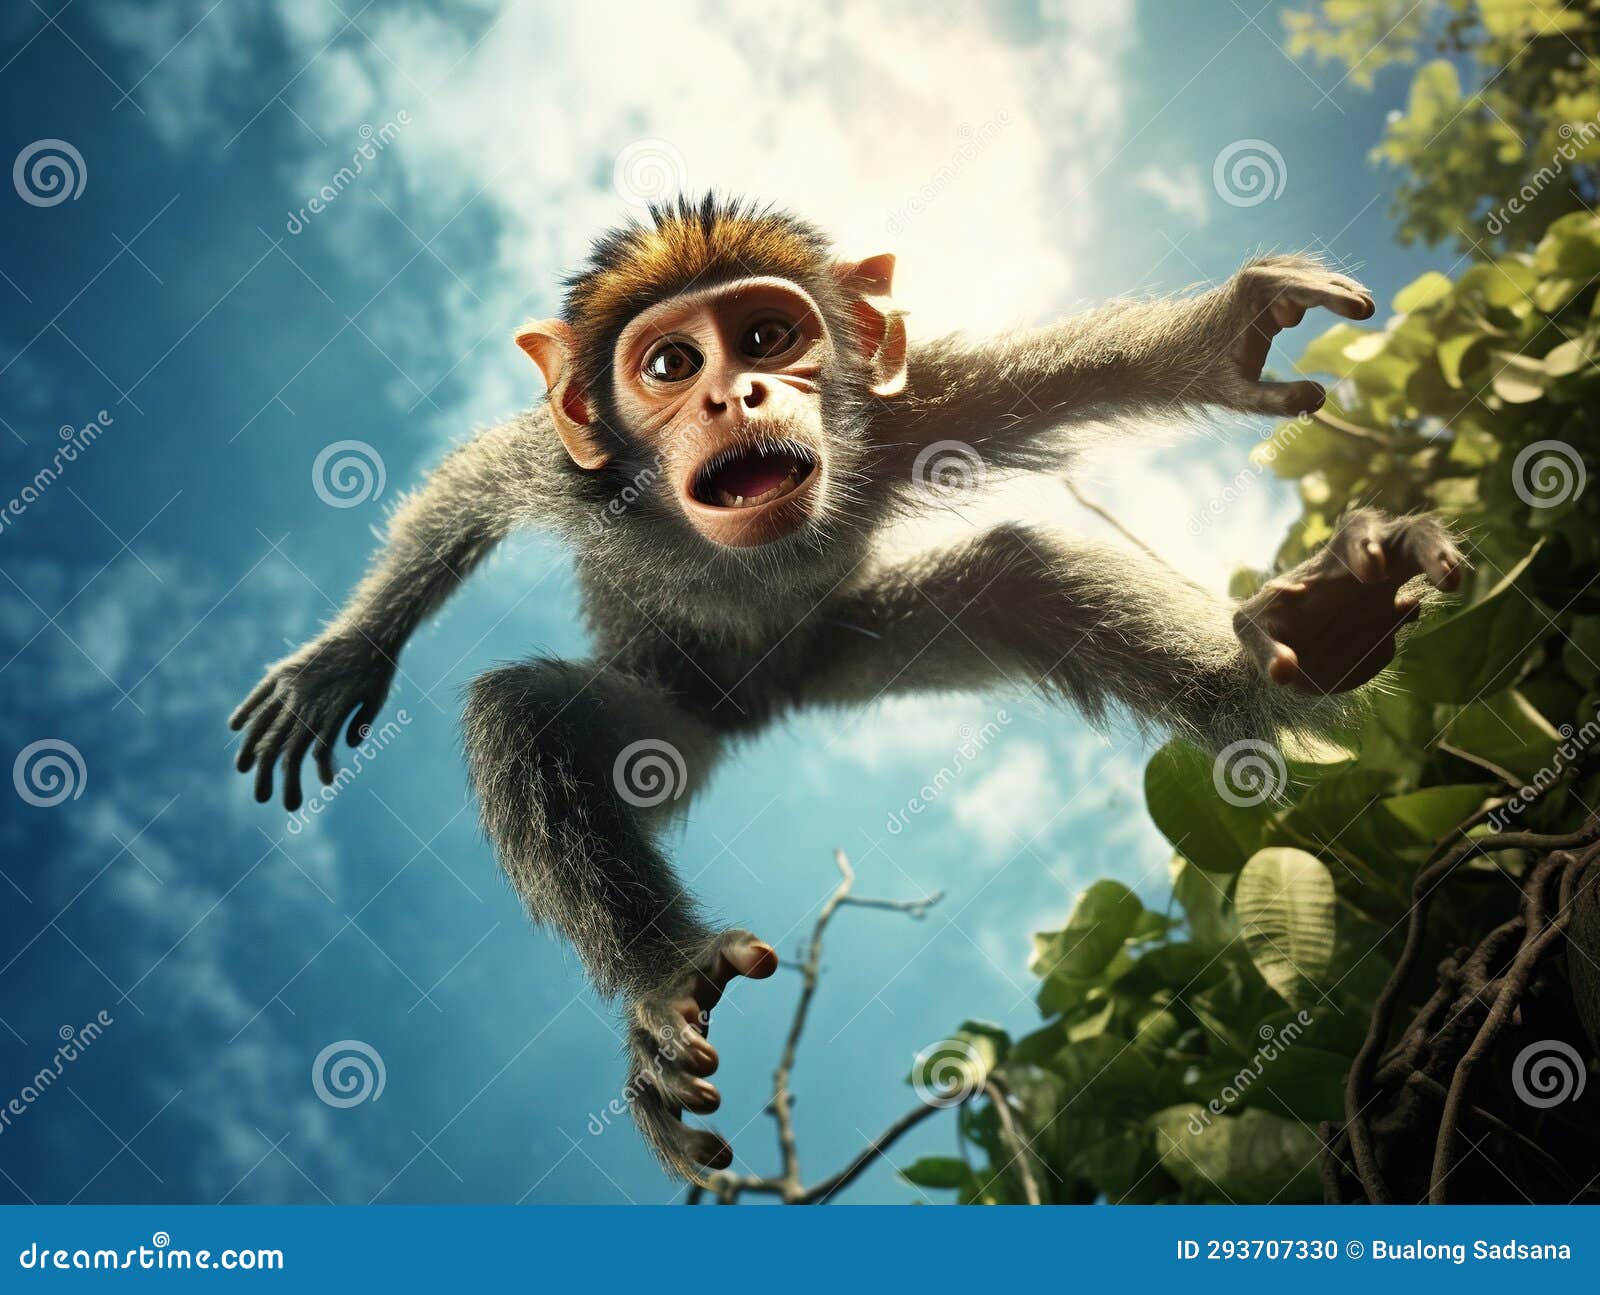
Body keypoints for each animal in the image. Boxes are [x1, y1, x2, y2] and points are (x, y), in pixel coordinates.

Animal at [229, 195, 1464, 1182]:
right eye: (670, 365)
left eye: (770, 336)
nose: (741, 393)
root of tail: (757, 709)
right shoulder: (574, 478)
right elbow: (470, 489)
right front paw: (347, 652)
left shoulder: (910, 413)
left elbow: (1055, 384)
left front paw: (1229, 338)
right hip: (673, 719)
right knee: (523, 715)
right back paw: (669, 976)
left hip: (841, 651)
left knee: (1020, 577)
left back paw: (1305, 648)